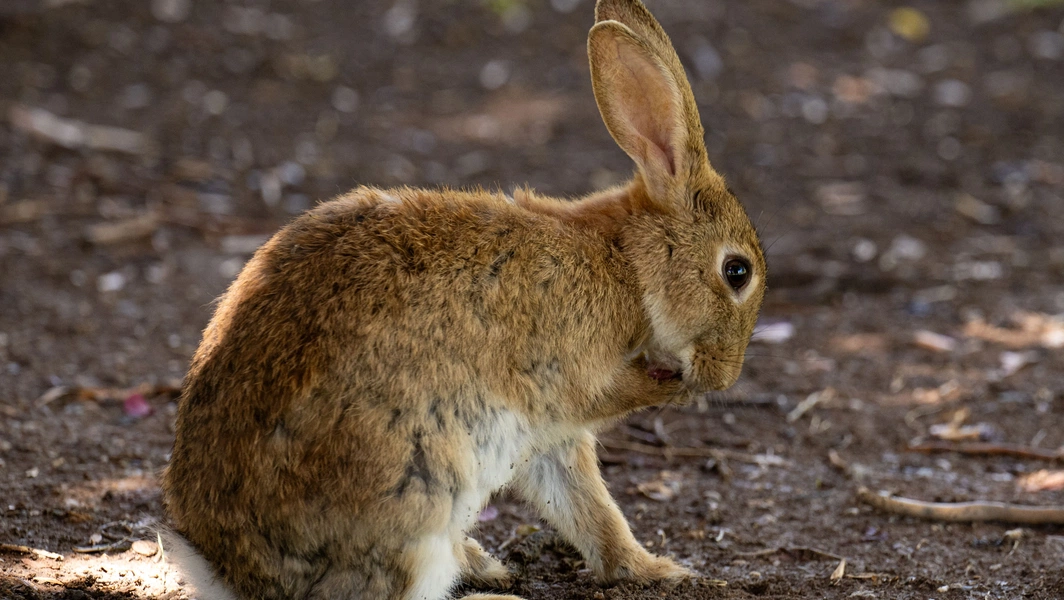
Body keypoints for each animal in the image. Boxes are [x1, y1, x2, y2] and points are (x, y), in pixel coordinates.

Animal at [161, 0, 766, 599]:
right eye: (737, 272)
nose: (724, 377)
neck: (625, 264)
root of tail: (233, 573)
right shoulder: (568, 379)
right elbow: (606, 415)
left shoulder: (547, 435)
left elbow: (590, 511)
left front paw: (655, 570)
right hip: (418, 492)